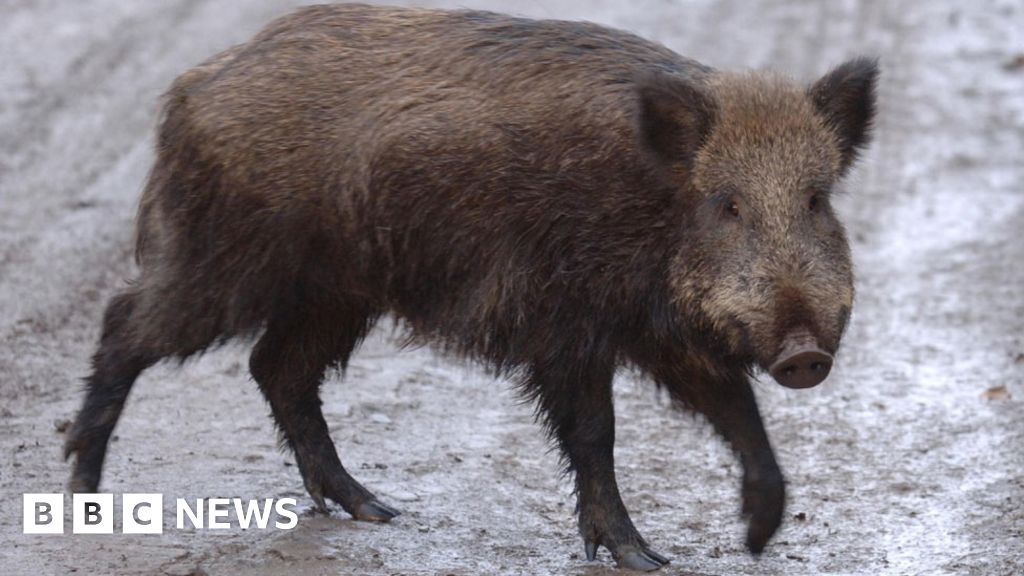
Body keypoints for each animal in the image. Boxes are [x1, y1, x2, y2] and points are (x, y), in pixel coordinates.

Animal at [64, 4, 877, 571]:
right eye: (728, 204)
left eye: (815, 199)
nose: (804, 354)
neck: (651, 209)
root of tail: (191, 87)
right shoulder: (566, 325)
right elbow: (596, 433)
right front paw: (641, 557)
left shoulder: (665, 334)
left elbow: (740, 415)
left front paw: (757, 538)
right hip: (224, 263)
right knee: (125, 323)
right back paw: (83, 489)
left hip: (336, 292)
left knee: (277, 367)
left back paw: (375, 510)